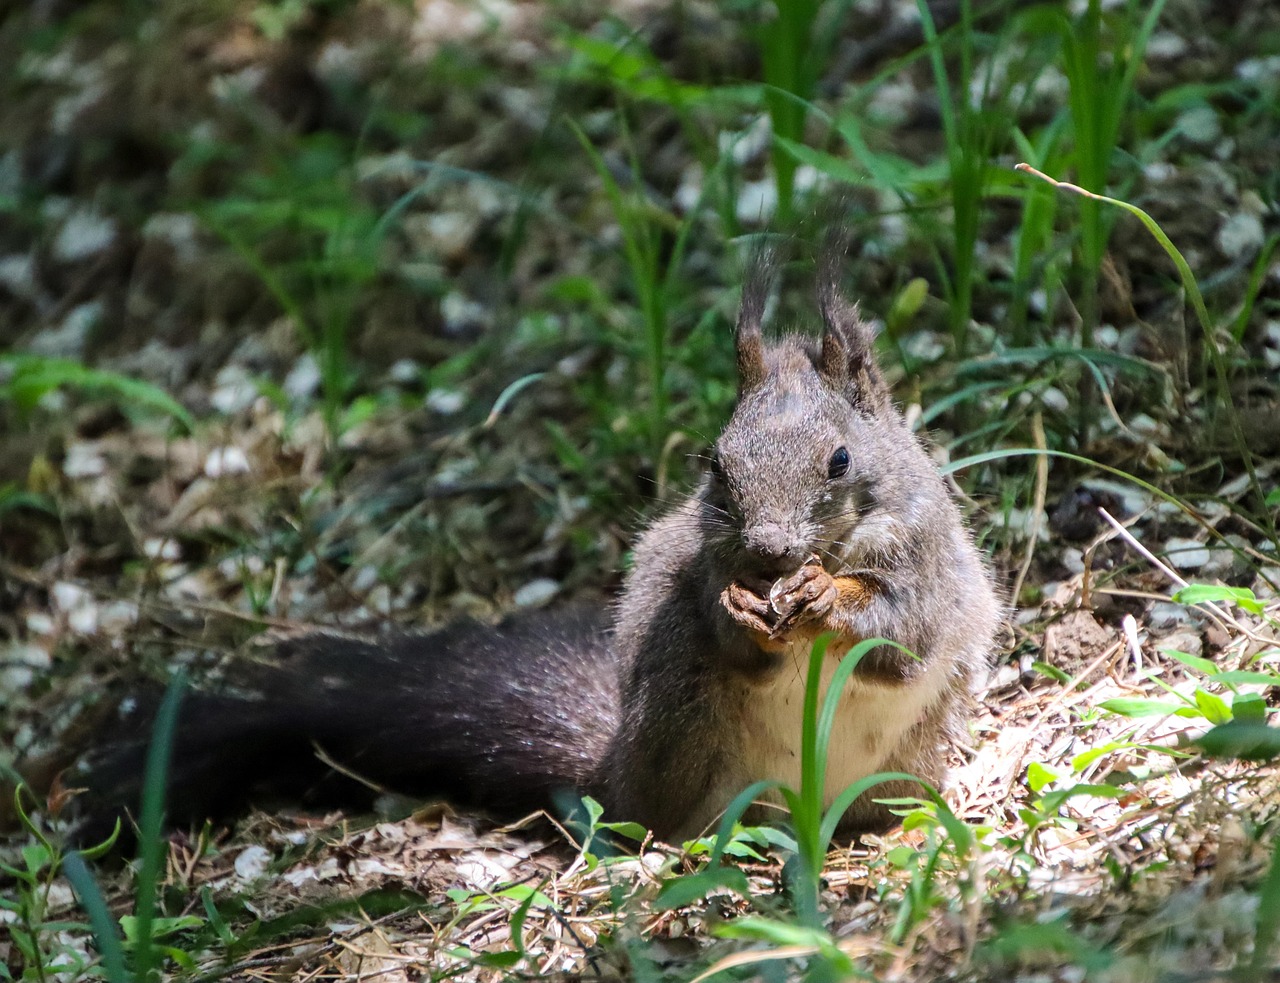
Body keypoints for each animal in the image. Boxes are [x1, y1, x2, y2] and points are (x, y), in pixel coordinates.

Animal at [44, 250, 1001, 846]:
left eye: (840, 461)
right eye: (714, 465)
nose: (767, 553)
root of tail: (618, 773)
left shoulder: (925, 561)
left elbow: (899, 633)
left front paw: (826, 597)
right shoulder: (696, 571)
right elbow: (727, 625)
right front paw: (744, 609)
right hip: (687, 731)